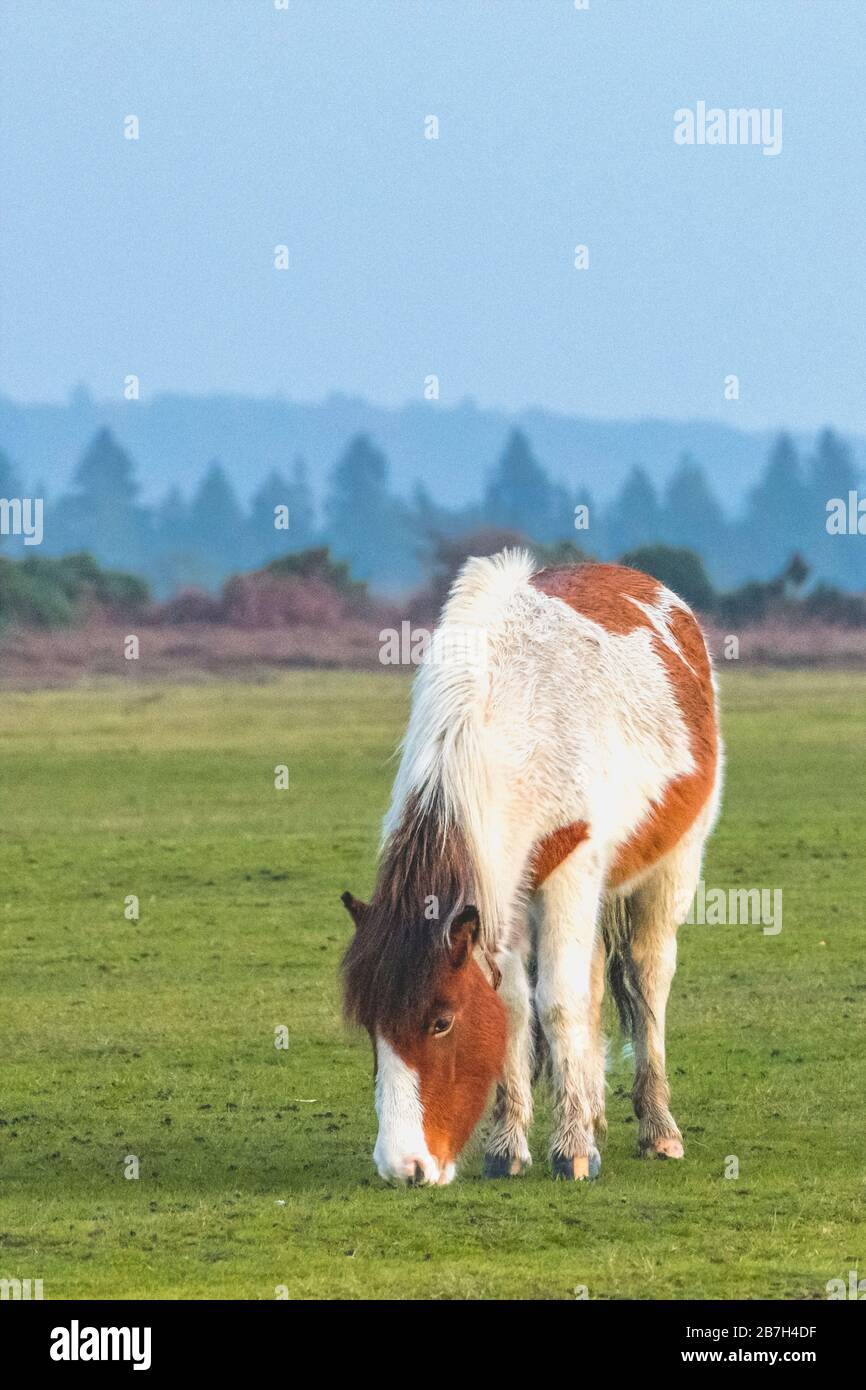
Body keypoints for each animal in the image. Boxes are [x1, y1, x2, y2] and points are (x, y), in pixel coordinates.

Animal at [341, 549, 722, 1185]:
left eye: (441, 1022)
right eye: (371, 1024)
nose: (403, 1167)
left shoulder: (571, 870)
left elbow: (558, 1003)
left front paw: (570, 1151)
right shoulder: (503, 891)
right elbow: (520, 1007)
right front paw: (509, 1145)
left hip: (669, 867)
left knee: (647, 977)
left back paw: (657, 1129)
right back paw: (592, 1113)